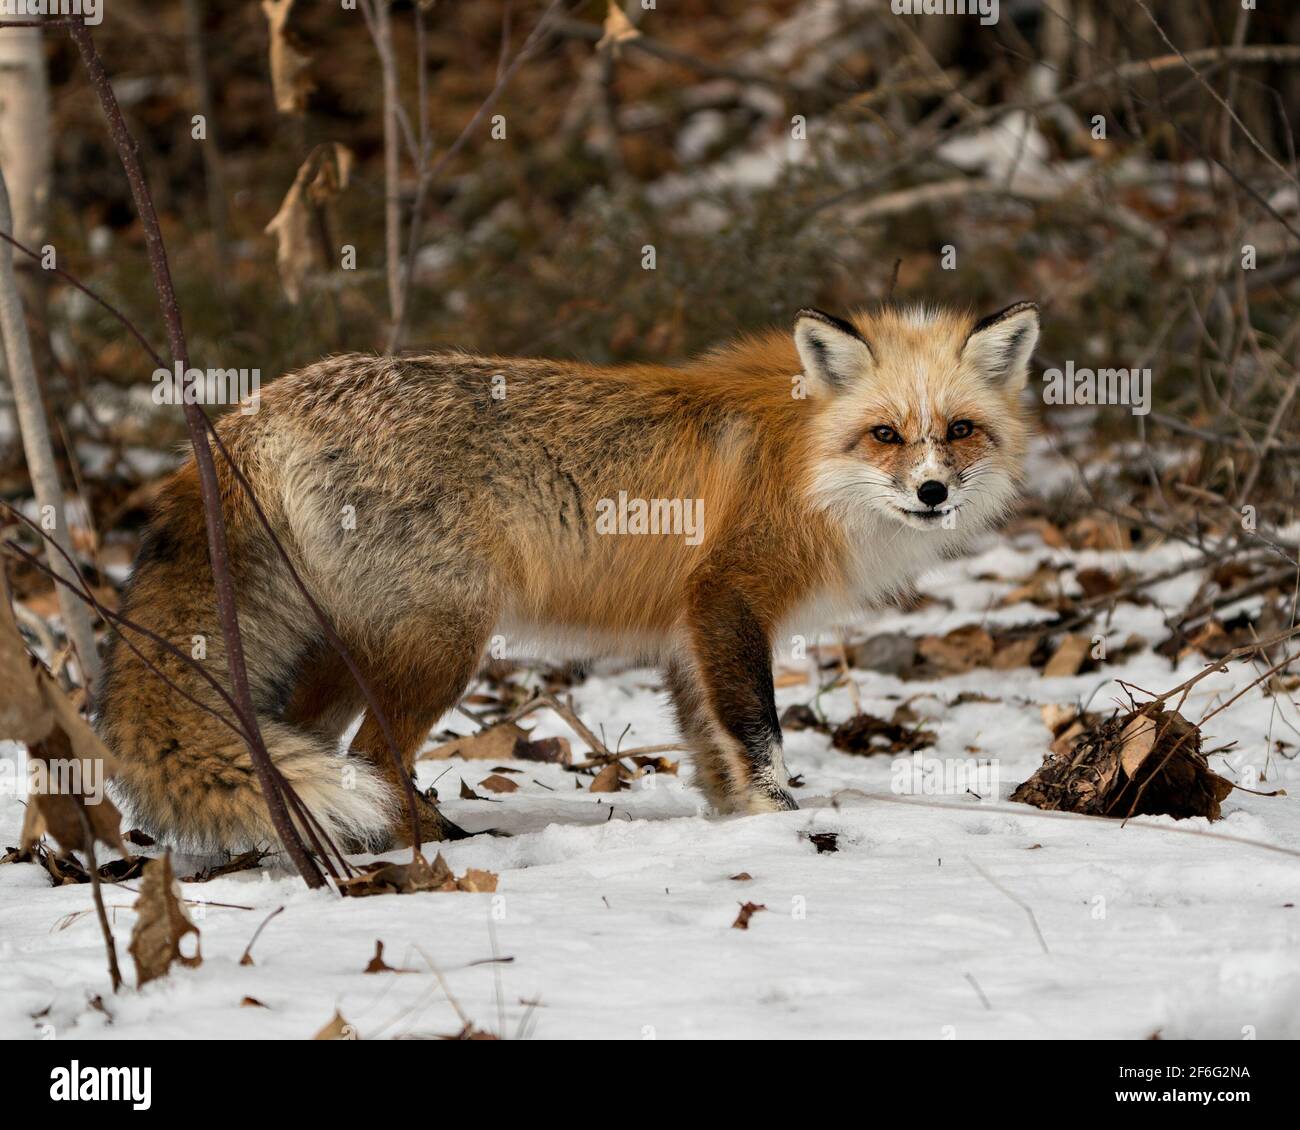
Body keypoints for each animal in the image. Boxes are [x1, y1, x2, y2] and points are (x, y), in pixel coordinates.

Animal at [97, 301, 1038, 853]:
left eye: (958, 431)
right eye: (885, 434)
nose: (932, 492)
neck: (803, 457)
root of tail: (259, 408)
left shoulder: (685, 631)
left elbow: (710, 749)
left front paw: (733, 829)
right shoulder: (727, 596)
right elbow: (760, 736)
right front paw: (781, 825)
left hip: (347, 645)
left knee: (303, 747)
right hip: (444, 645)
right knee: (371, 757)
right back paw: (426, 848)